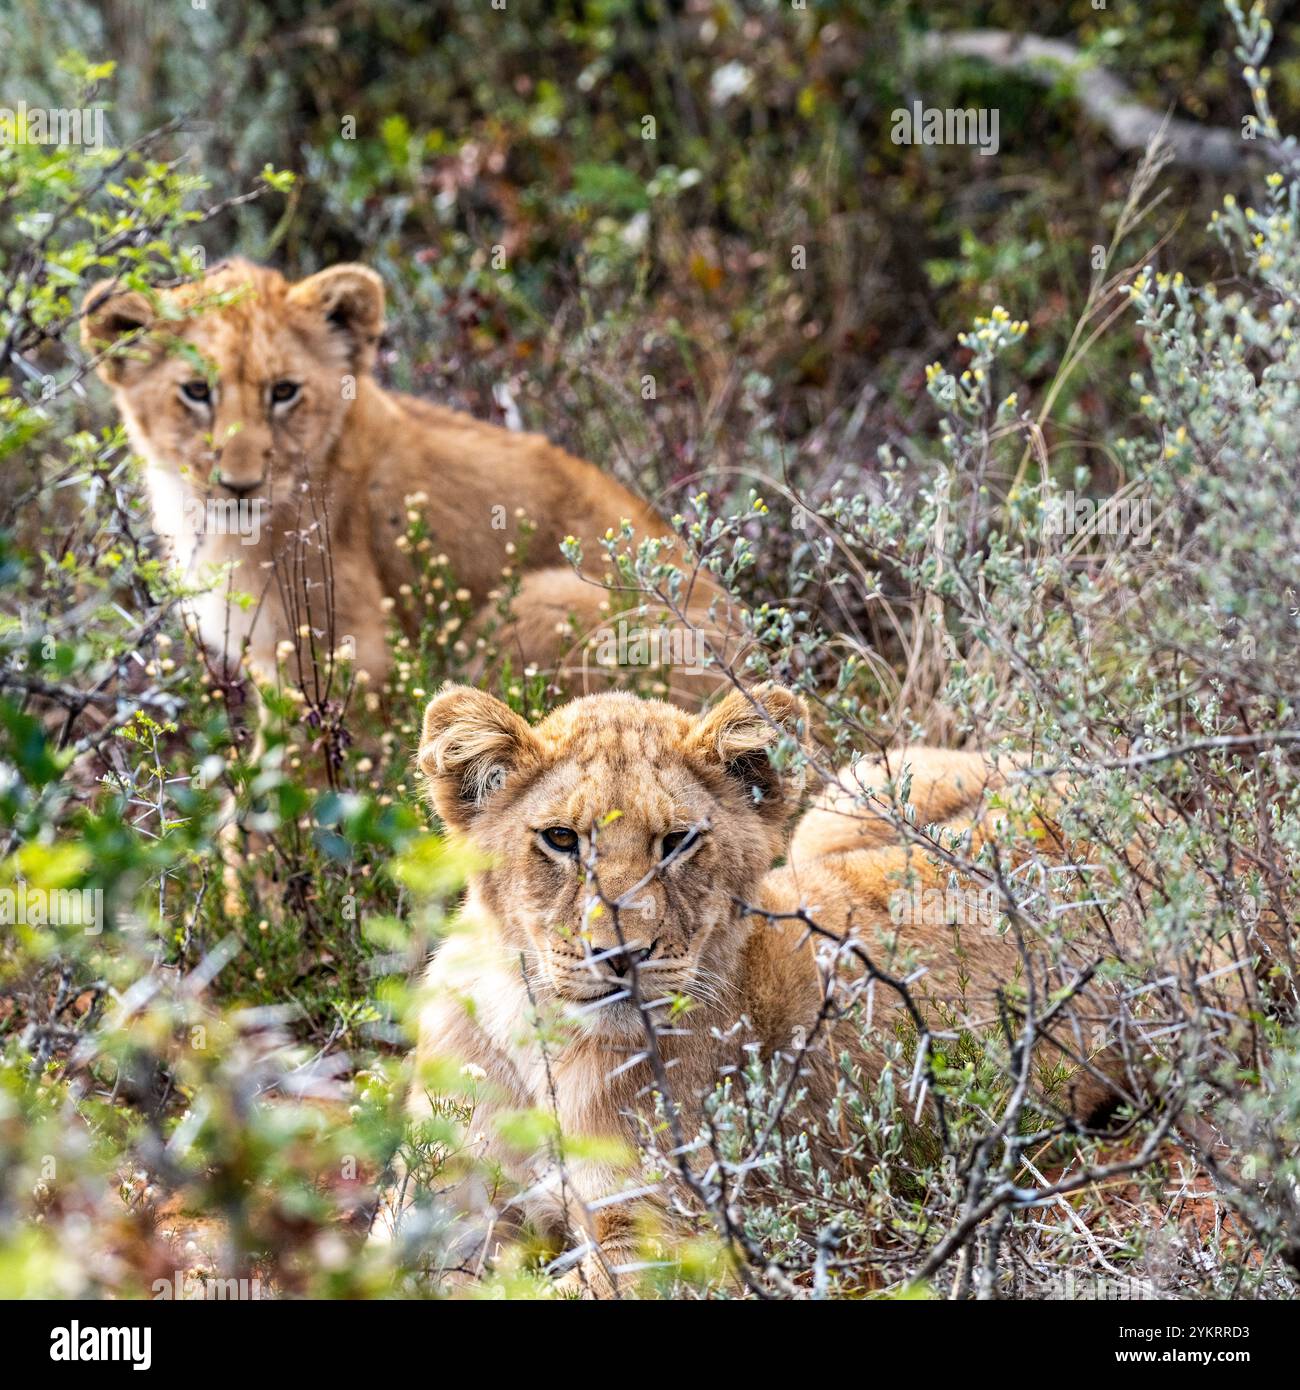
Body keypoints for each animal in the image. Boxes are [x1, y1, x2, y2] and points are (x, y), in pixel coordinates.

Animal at [382, 682, 1258, 1296]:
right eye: (561, 839)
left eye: (679, 842)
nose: (620, 955)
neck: (535, 1031)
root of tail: (1155, 815)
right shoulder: (438, 1196)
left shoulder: (664, 1241)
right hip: (847, 795)